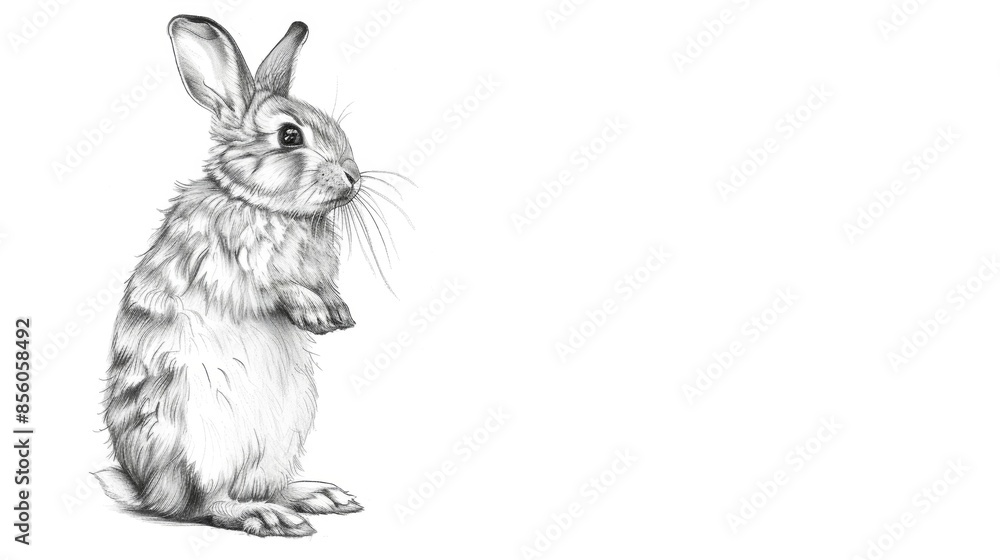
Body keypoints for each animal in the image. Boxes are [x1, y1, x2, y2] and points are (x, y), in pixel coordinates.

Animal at [94, 15, 366, 537]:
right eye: (289, 136)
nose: (353, 177)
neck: (261, 203)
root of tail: (147, 491)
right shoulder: (230, 269)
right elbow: (277, 288)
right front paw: (315, 314)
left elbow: (324, 286)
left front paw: (338, 313)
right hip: (198, 438)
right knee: (208, 504)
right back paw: (267, 518)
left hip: (280, 438)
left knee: (262, 485)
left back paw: (320, 497)